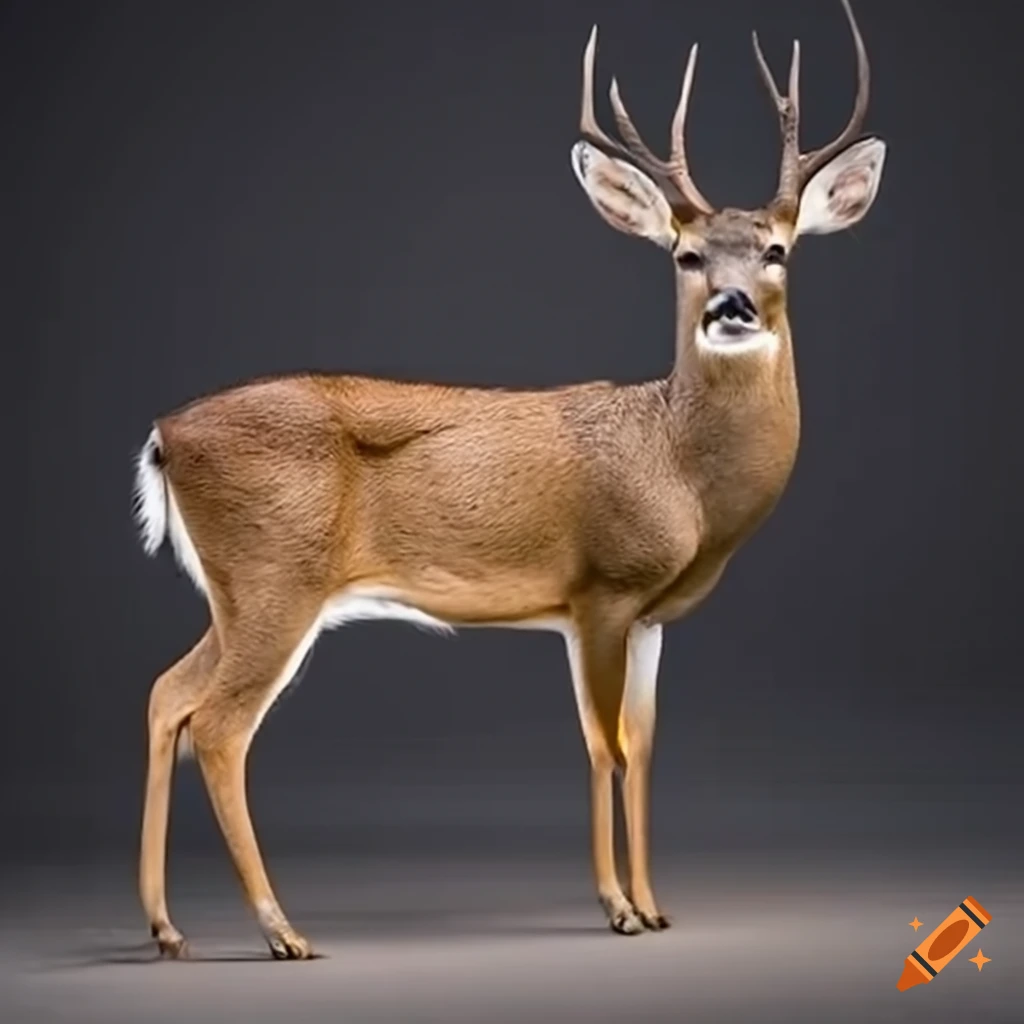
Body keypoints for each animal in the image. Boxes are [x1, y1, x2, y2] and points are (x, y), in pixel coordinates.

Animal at [132, 0, 886, 960]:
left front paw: (656, 905)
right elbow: (604, 747)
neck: (677, 468)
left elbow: (643, 750)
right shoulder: (601, 589)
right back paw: (281, 932)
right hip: (275, 577)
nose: (732, 305)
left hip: (235, 592)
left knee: (168, 694)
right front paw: (619, 910)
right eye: (685, 255)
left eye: (778, 249)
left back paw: (166, 928)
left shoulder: (649, 618)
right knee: (221, 727)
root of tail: (166, 434)